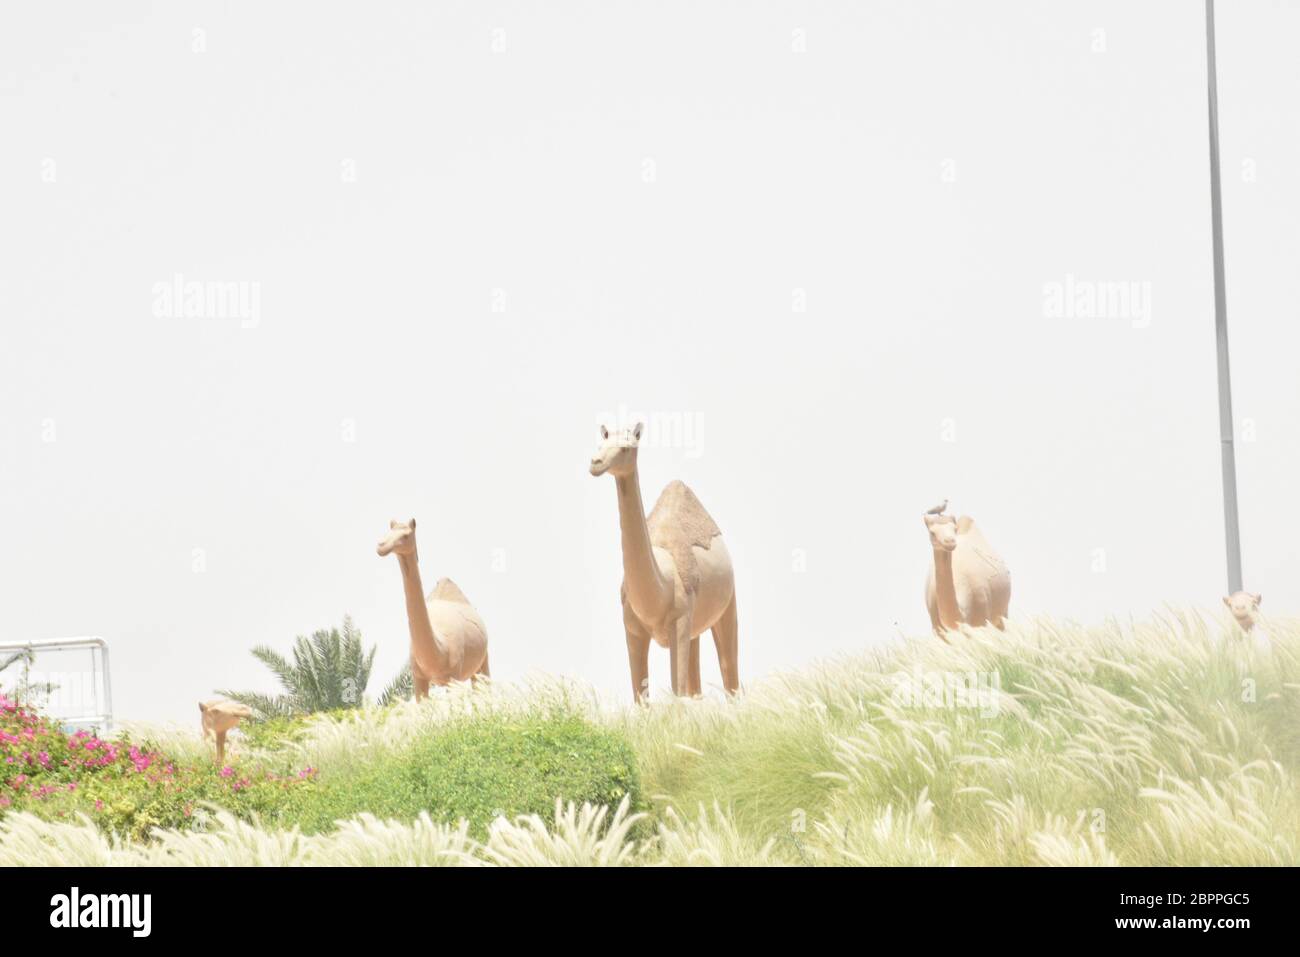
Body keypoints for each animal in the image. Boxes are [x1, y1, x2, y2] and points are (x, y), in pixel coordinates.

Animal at [376, 518, 489, 699]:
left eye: (406, 535)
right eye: (389, 530)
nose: (381, 546)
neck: (442, 648)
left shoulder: (454, 676)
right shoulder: (418, 677)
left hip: (483, 659)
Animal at [589, 422, 738, 701]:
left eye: (626, 447)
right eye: (601, 442)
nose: (595, 463)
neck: (663, 587)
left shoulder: (680, 622)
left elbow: (676, 694)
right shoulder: (632, 629)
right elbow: (641, 699)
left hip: (728, 605)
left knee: (730, 678)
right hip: (695, 628)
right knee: (697, 688)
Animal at [923, 508, 1011, 636]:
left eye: (954, 529)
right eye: (932, 532)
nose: (950, 541)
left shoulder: (982, 621)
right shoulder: (937, 629)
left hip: (1002, 613)